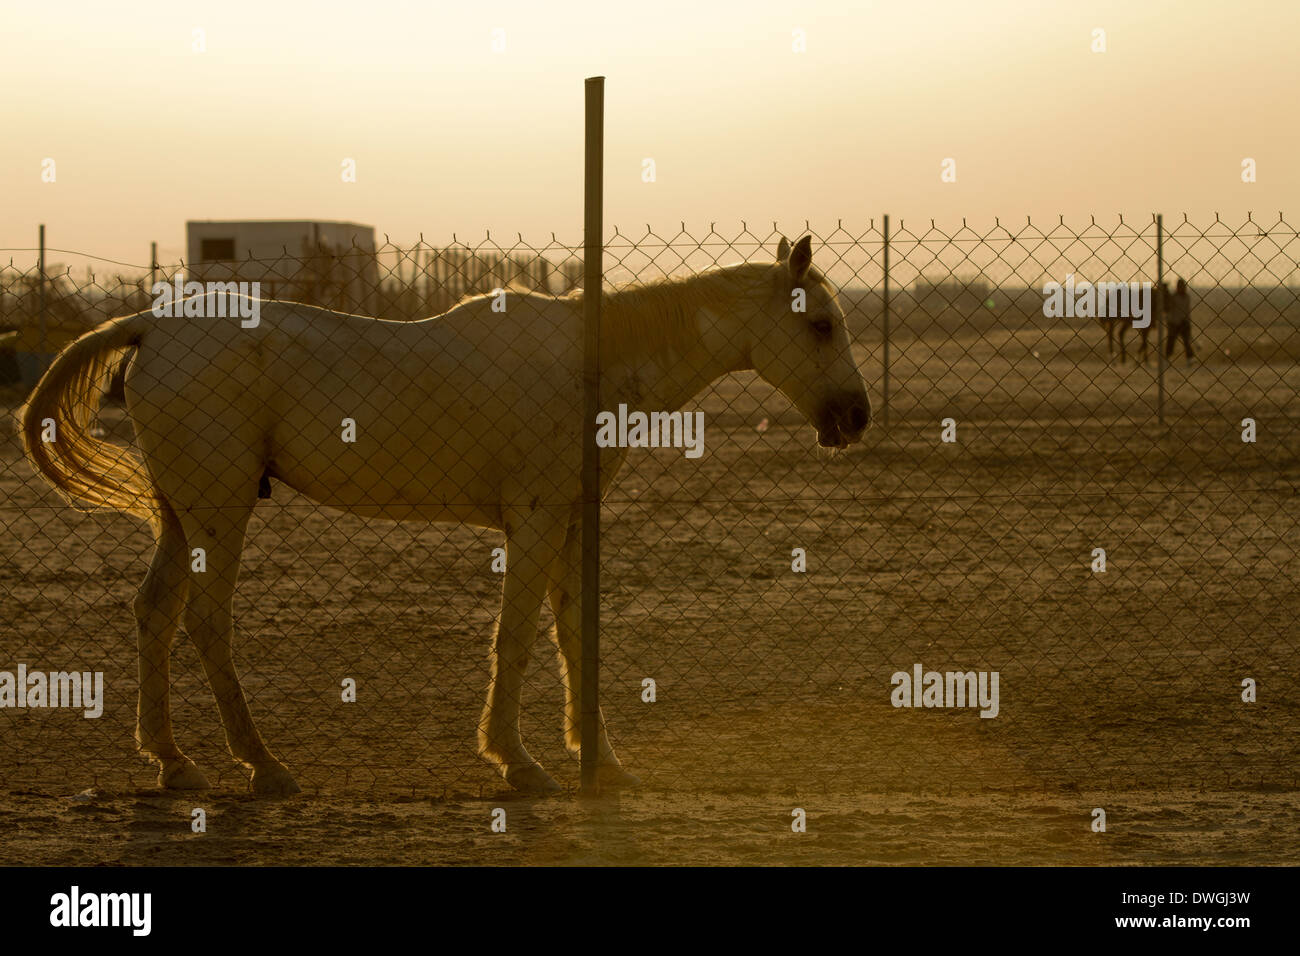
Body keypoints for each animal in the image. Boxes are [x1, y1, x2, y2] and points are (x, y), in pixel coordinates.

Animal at [19, 235, 871, 795]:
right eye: (820, 324)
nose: (856, 416)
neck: (594, 363)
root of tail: (153, 326)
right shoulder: (535, 521)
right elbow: (516, 637)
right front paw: (516, 761)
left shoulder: (569, 524)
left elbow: (573, 636)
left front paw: (598, 757)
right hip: (219, 518)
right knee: (204, 622)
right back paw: (261, 764)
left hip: (181, 518)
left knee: (156, 614)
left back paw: (173, 761)